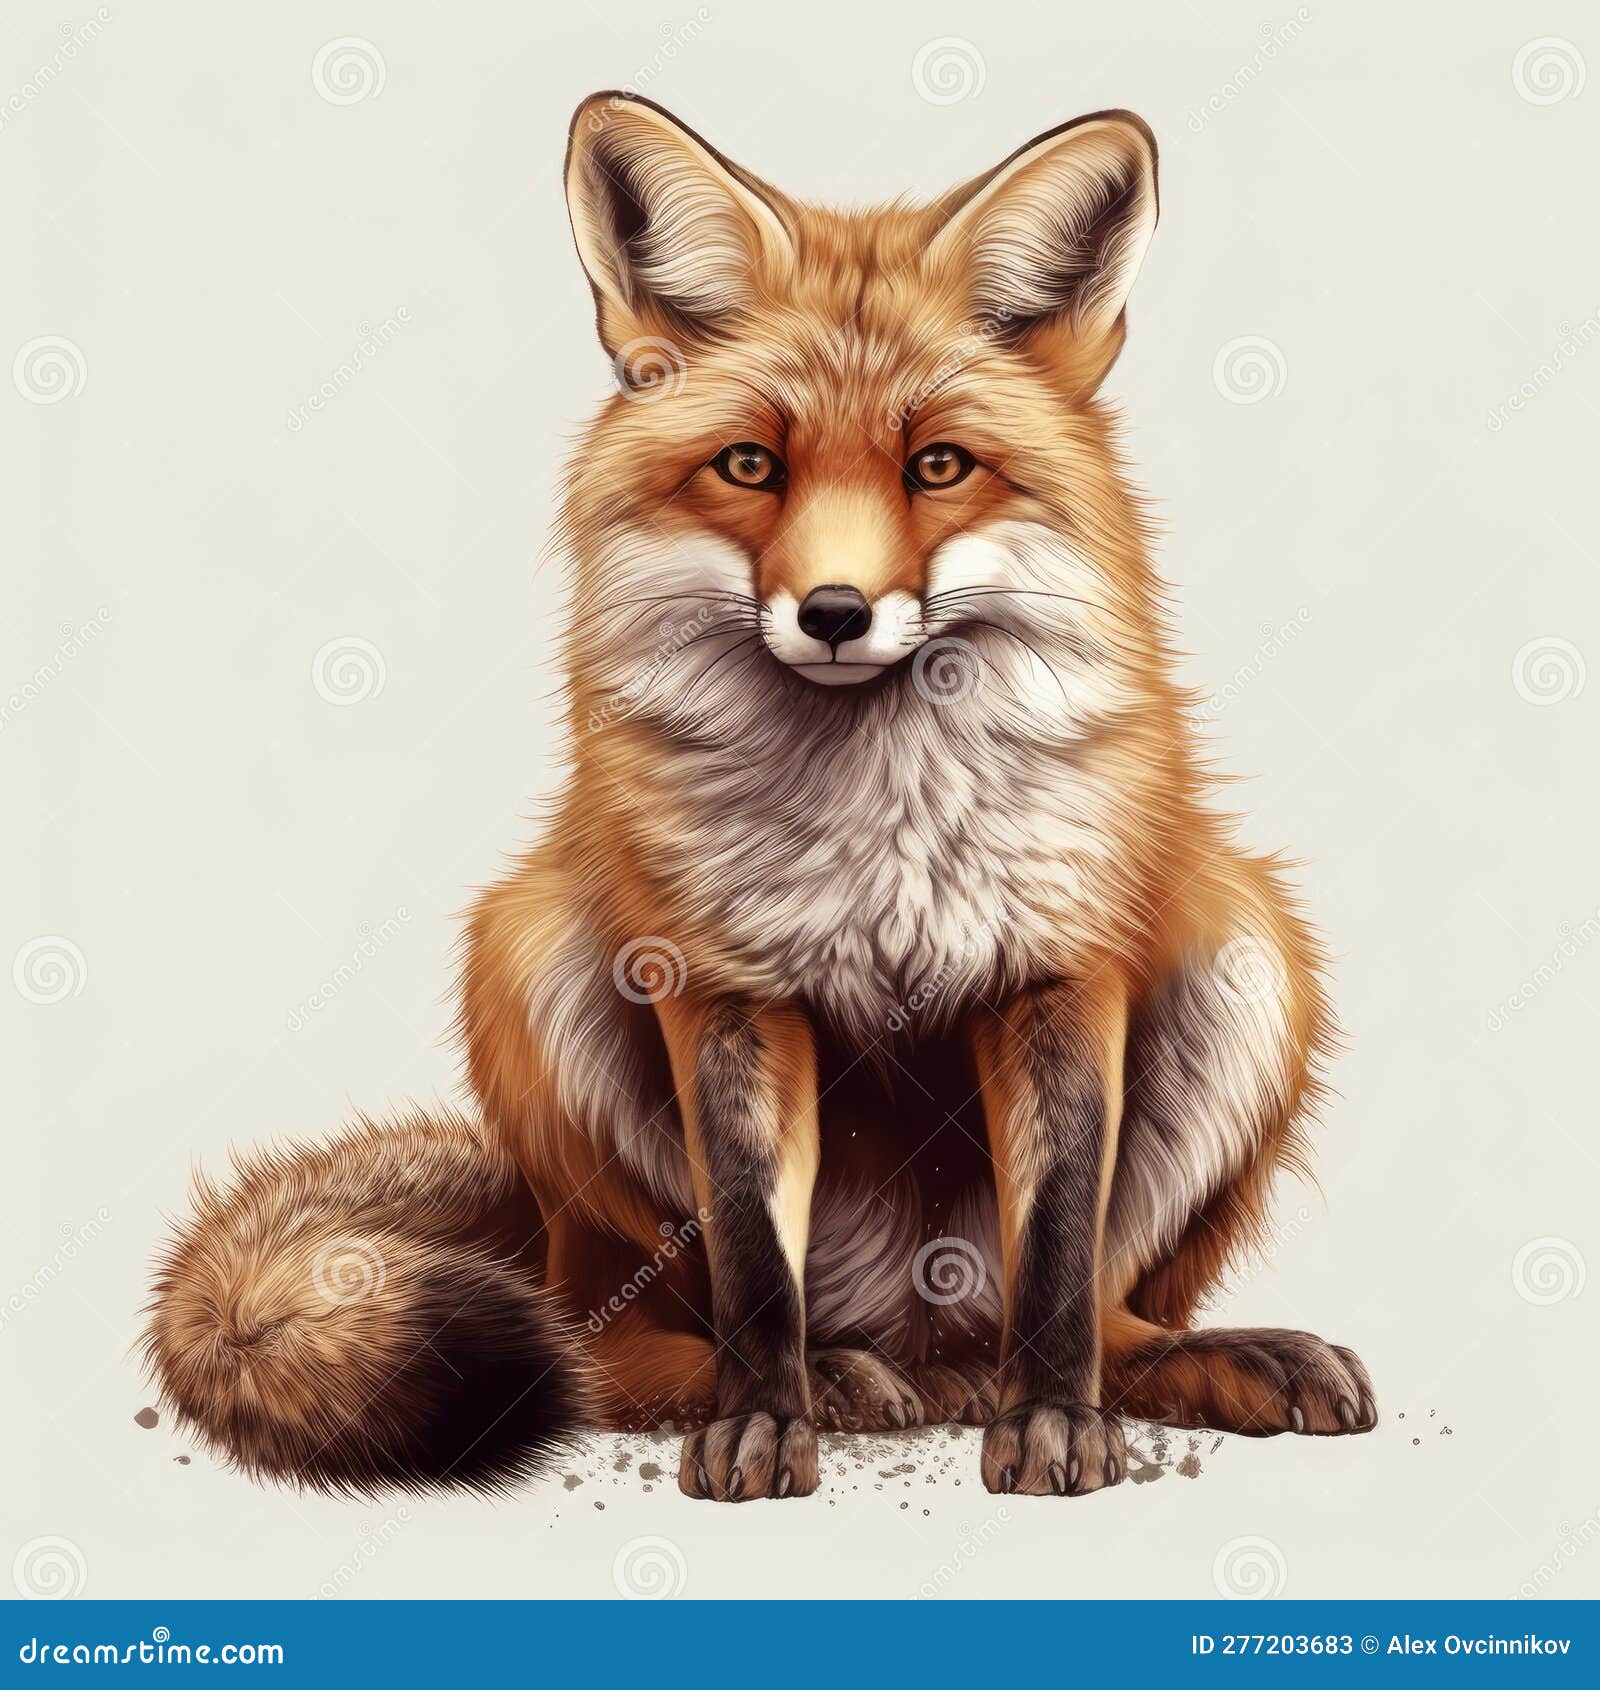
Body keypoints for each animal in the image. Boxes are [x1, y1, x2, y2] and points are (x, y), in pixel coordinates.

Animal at [144, 93, 1376, 1504]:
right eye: (748, 465)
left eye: (937, 466)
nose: (834, 612)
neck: (881, 822)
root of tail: (928, 1333)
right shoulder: (721, 989)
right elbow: (748, 1254)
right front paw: (764, 1422)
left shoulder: (1060, 973)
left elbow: (1061, 1251)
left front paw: (1054, 1421)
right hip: (533, 962)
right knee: (600, 1349)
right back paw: (829, 1377)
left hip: (1249, 950)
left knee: (1101, 1314)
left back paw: (1181, 1359)